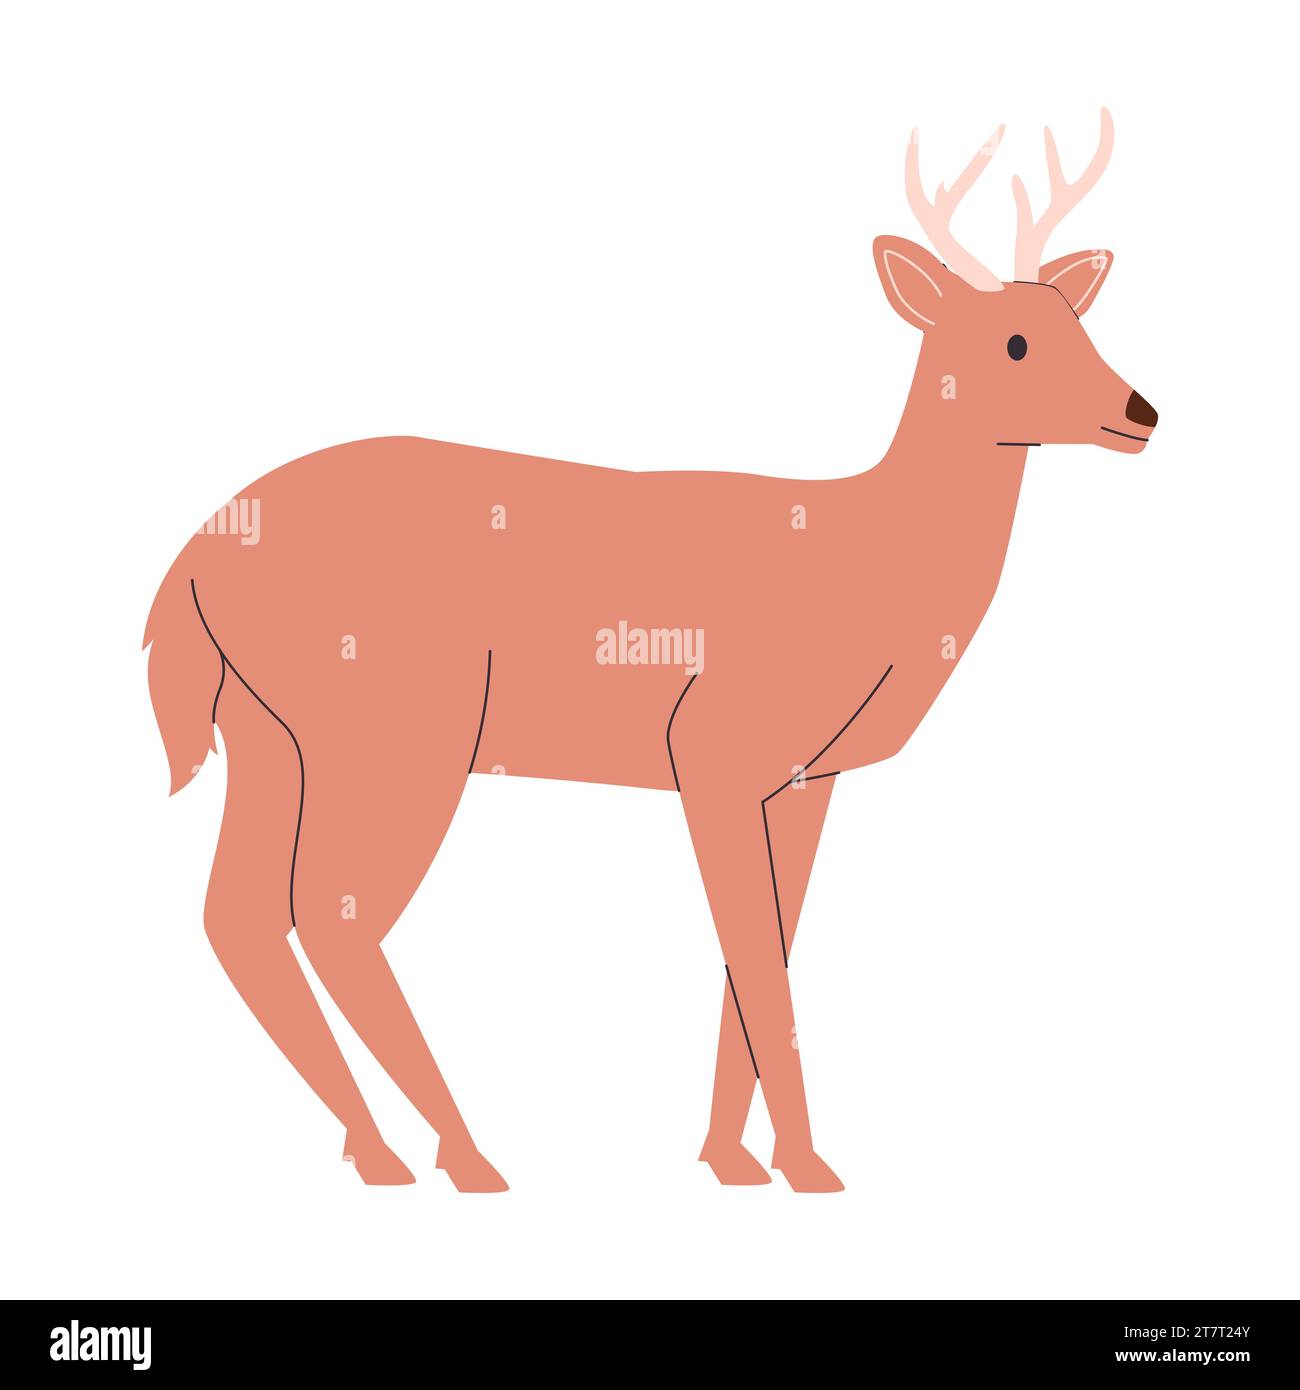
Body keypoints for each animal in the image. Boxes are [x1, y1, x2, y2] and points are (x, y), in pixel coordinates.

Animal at [144, 112, 1156, 1193]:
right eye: (1014, 340)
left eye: (1078, 318)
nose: (1141, 411)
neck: (863, 561)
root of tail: (195, 555)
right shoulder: (715, 742)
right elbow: (751, 950)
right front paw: (806, 1167)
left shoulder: (802, 778)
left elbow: (767, 947)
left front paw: (734, 1159)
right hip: (395, 725)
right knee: (333, 913)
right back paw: (467, 1155)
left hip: (269, 730)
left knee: (240, 915)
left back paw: (378, 1150)